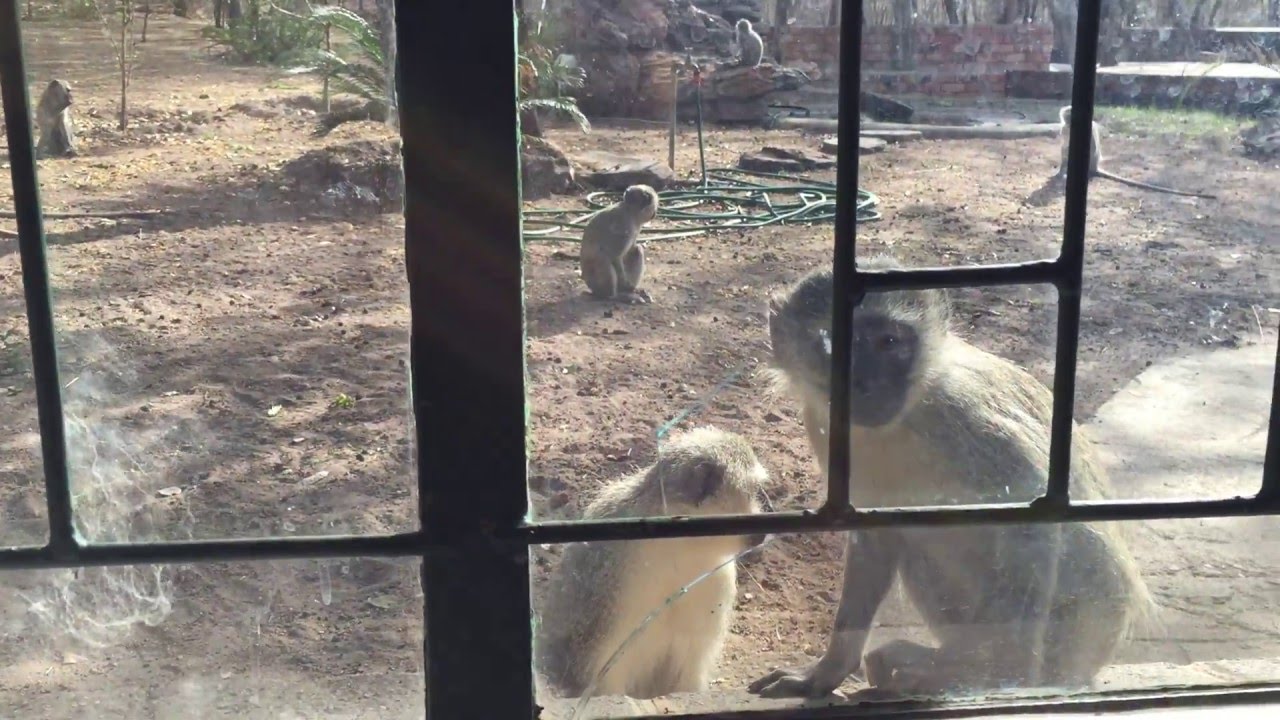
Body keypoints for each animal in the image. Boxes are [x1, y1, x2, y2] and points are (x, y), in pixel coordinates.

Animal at [747, 255, 1158, 699]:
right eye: (833, 346)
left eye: (888, 342)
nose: (865, 384)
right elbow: (874, 537)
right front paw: (827, 671)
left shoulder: (966, 416)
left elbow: (1039, 520)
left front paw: (1003, 671)